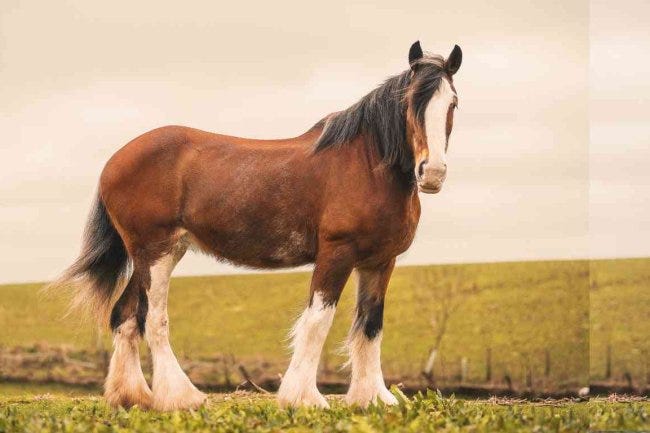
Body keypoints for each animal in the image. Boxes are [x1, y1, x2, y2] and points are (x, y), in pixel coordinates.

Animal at [51, 41, 462, 411]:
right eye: (410, 103)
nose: (432, 172)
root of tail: (114, 161)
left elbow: (370, 325)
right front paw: (304, 399)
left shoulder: (379, 262)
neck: (366, 165)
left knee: (124, 317)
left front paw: (373, 397)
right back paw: (182, 397)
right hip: (157, 254)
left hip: (150, 256)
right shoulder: (336, 253)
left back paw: (132, 396)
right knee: (152, 319)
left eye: (452, 103)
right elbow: (318, 322)